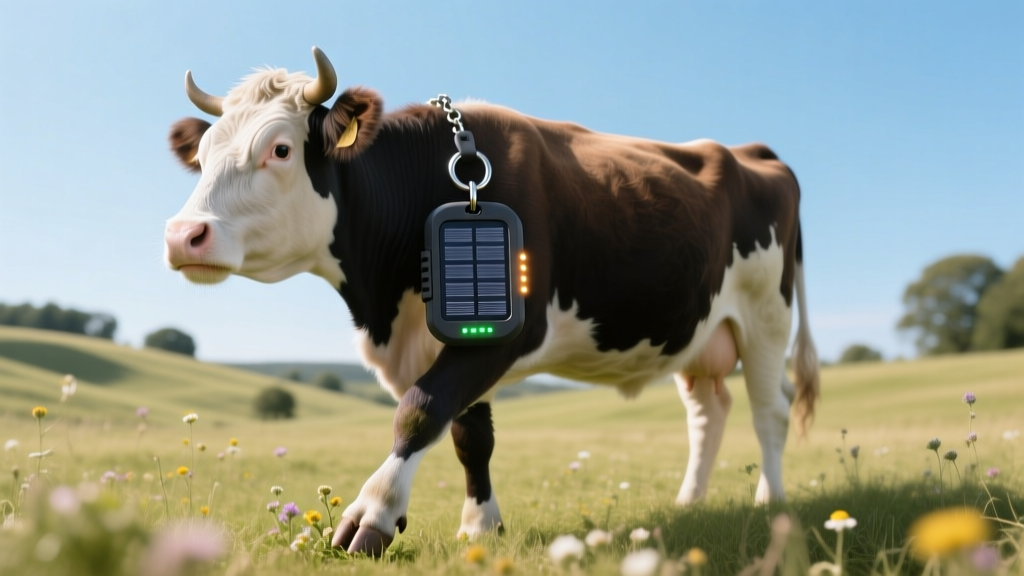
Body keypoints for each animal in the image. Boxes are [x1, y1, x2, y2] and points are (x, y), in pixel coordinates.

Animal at [164, 47, 820, 556]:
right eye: (203, 155)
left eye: (280, 149)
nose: (182, 235)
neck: (385, 303)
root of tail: (750, 151)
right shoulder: (456, 336)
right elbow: (468, 435)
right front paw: (480, 524)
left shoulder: (505, 332)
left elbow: (420, 410)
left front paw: (372, 515)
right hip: (698, 329)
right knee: (709, 412)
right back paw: (689, 501)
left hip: (766, 315)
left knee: (769, 411)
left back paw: (771, 501)